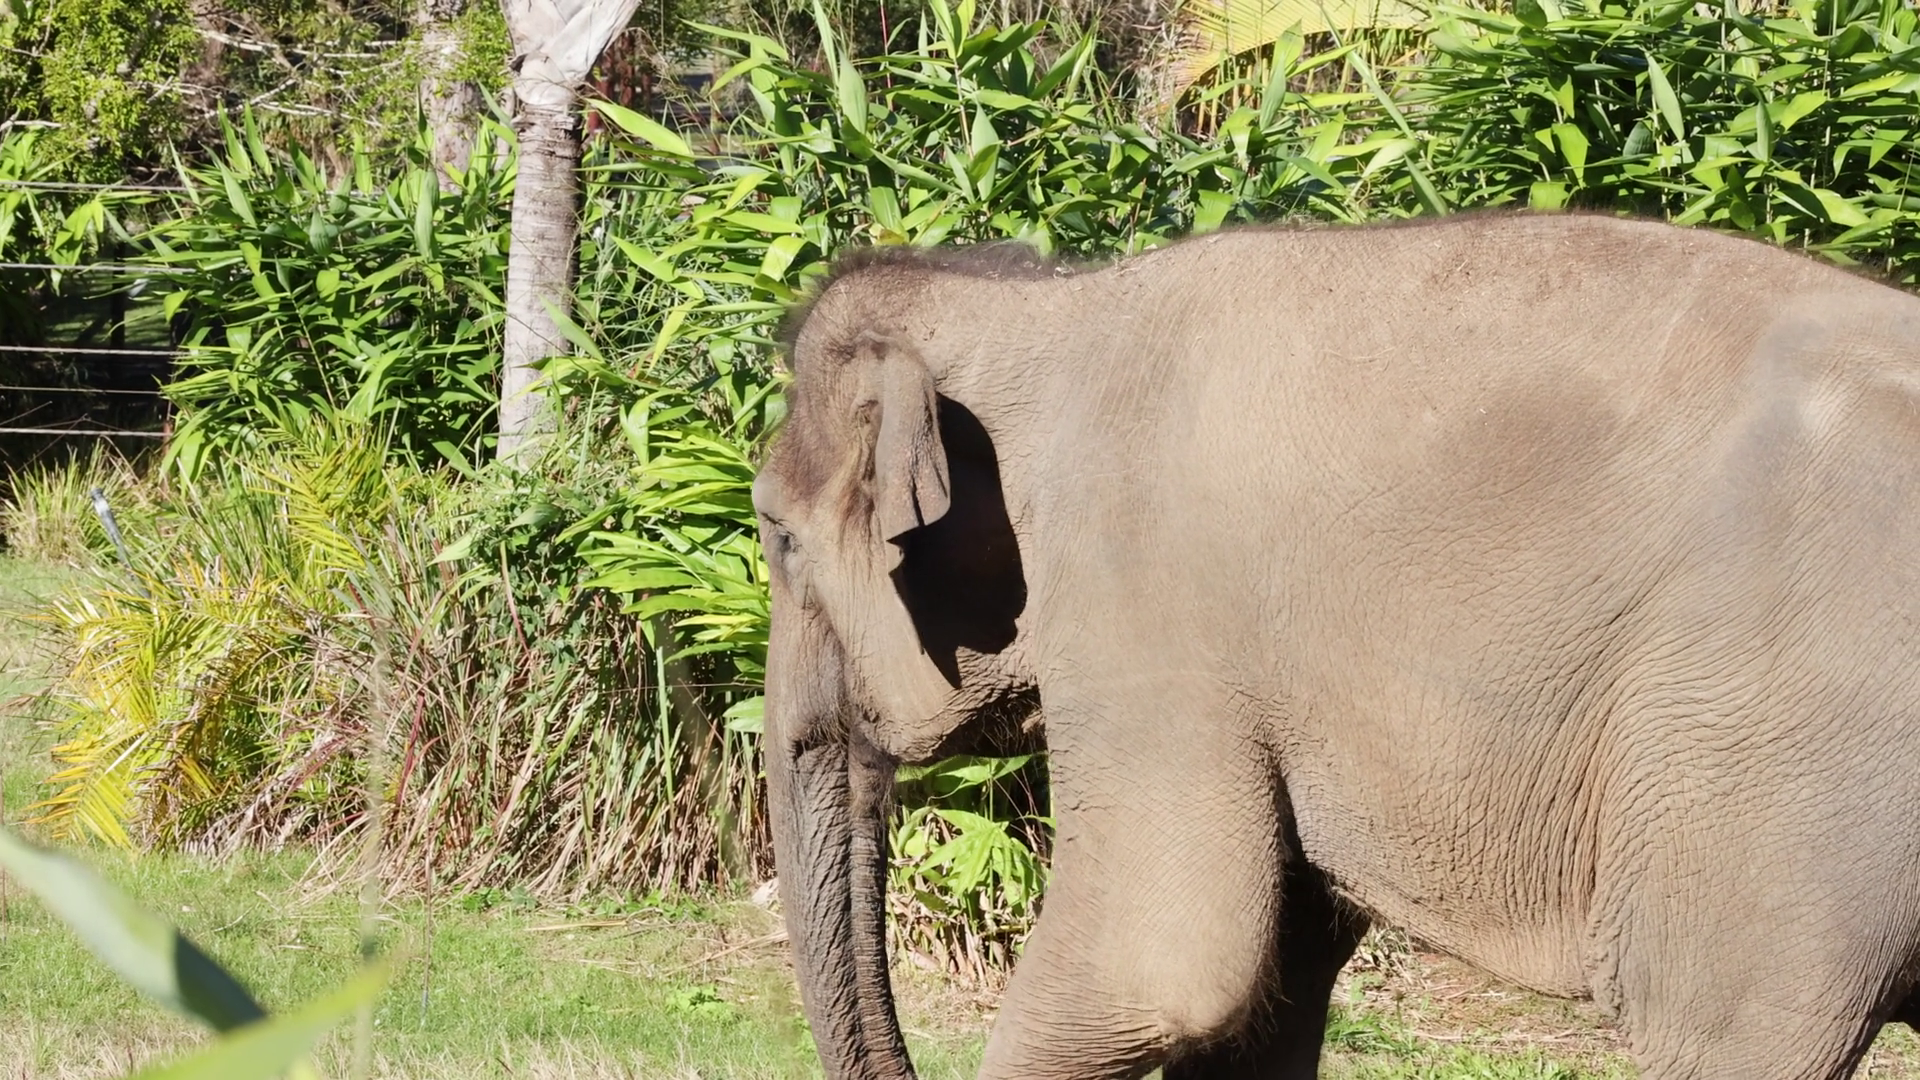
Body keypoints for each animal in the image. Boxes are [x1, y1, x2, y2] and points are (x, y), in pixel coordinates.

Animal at [748, 212, 1920, 1080]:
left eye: (776, 537)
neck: (1052, 306)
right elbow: (1266, 988)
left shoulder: (1153, 608)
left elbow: (1162, 965)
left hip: (1762, 770)